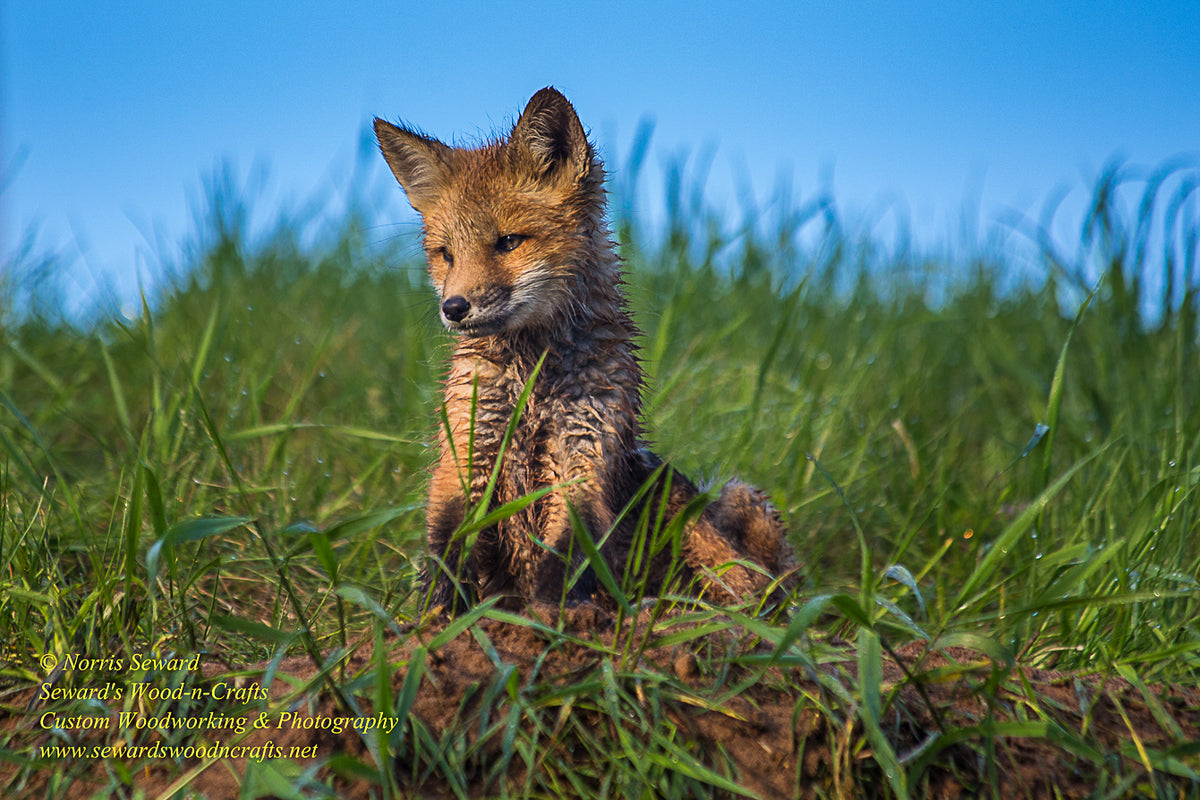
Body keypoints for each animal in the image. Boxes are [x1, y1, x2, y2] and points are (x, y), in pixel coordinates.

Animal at [374, 87, 795, 613]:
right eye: (445, 254)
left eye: (508, 242)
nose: (454, 308)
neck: (532, 379)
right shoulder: (467, 448)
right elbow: (449, 547)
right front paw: (439, 621)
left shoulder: (585, 452)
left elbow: (566, 555)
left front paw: (550, 620)